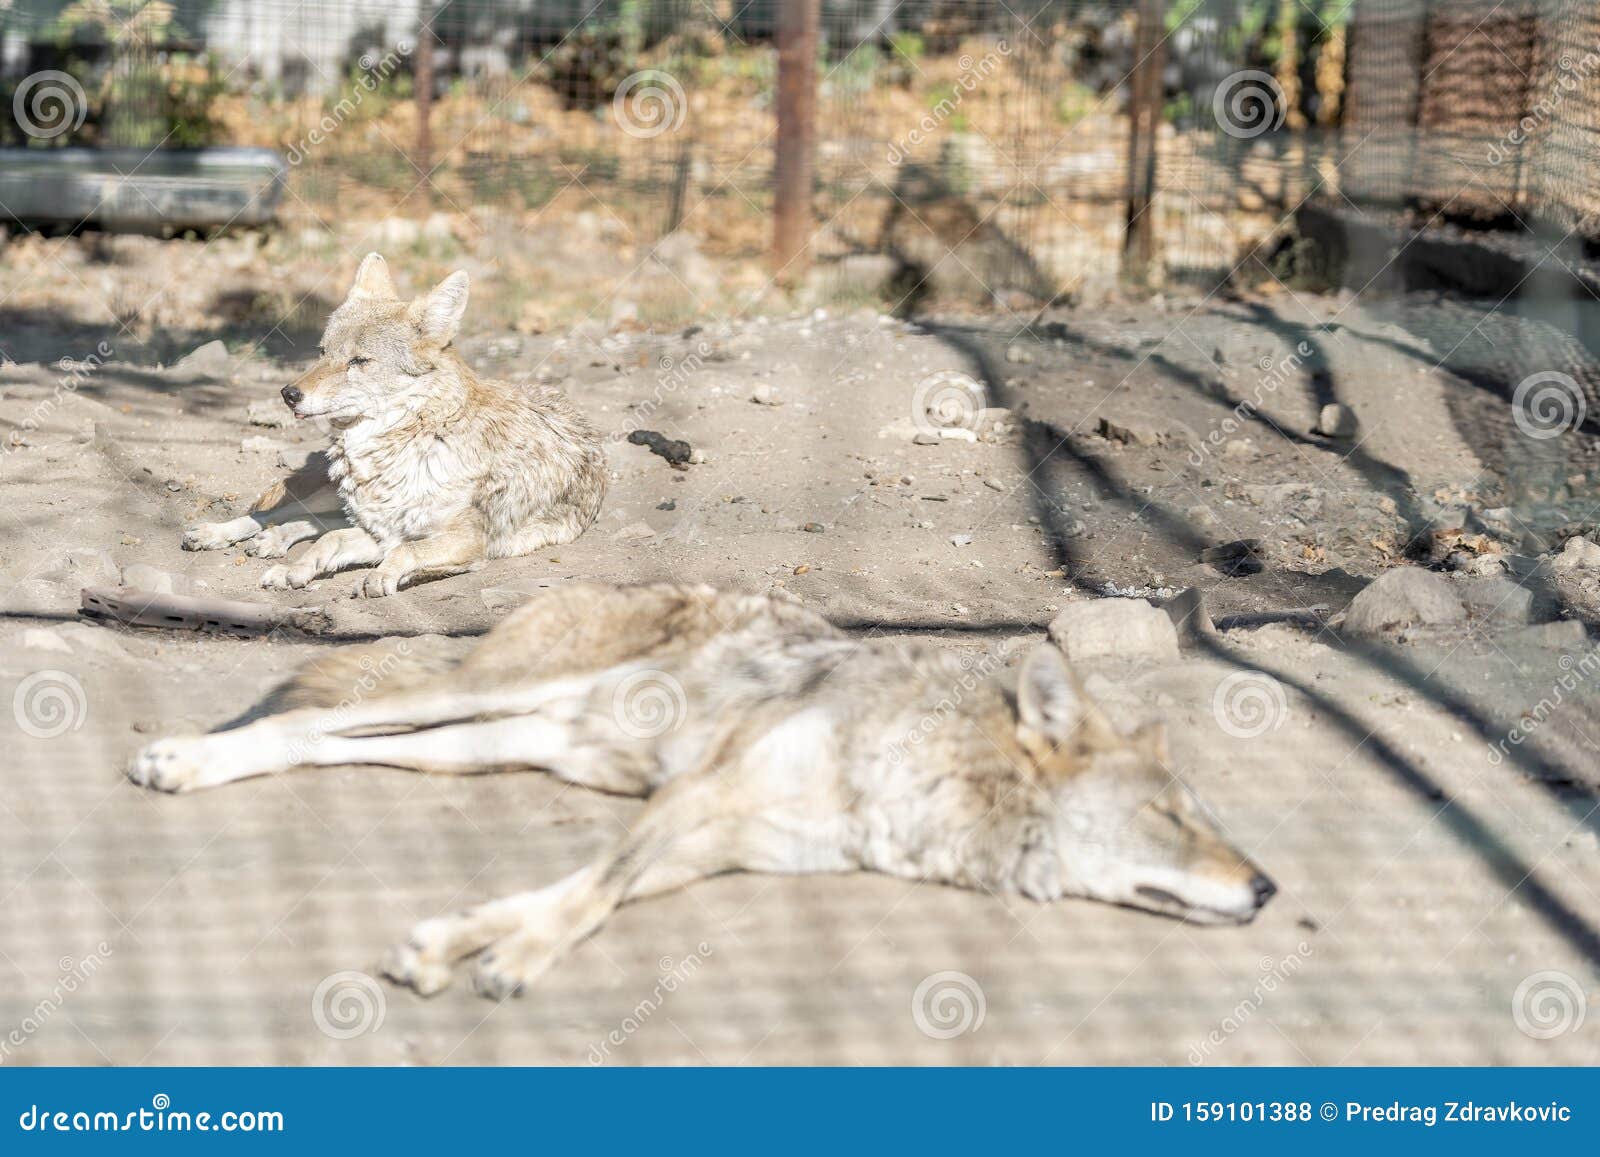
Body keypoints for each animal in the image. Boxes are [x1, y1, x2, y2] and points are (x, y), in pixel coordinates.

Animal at [127, 582, 1276, 998]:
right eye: (1174, 816)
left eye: (1204, 817)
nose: (1266, 887)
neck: (932, 781)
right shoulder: (696, 799)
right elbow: (591, 896)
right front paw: (514, 962)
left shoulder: (712, 840)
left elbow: (576, 888)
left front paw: (456, 941)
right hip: (493, 697)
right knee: (304, 721)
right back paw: (180, 760)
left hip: (489, 749)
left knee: (331, 745)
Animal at [182, 253, 607, 597]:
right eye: (322, 352)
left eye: (359, 361)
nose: (289, 394)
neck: (413, 442)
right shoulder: (381, 530)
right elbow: (328, 540)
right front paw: (294, 570)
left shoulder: (454, 540)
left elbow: (397, 547)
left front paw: (376, 577)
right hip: (331, 494)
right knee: (283, 514)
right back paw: (220, 534)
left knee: (310, 521)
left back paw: (270, 541)